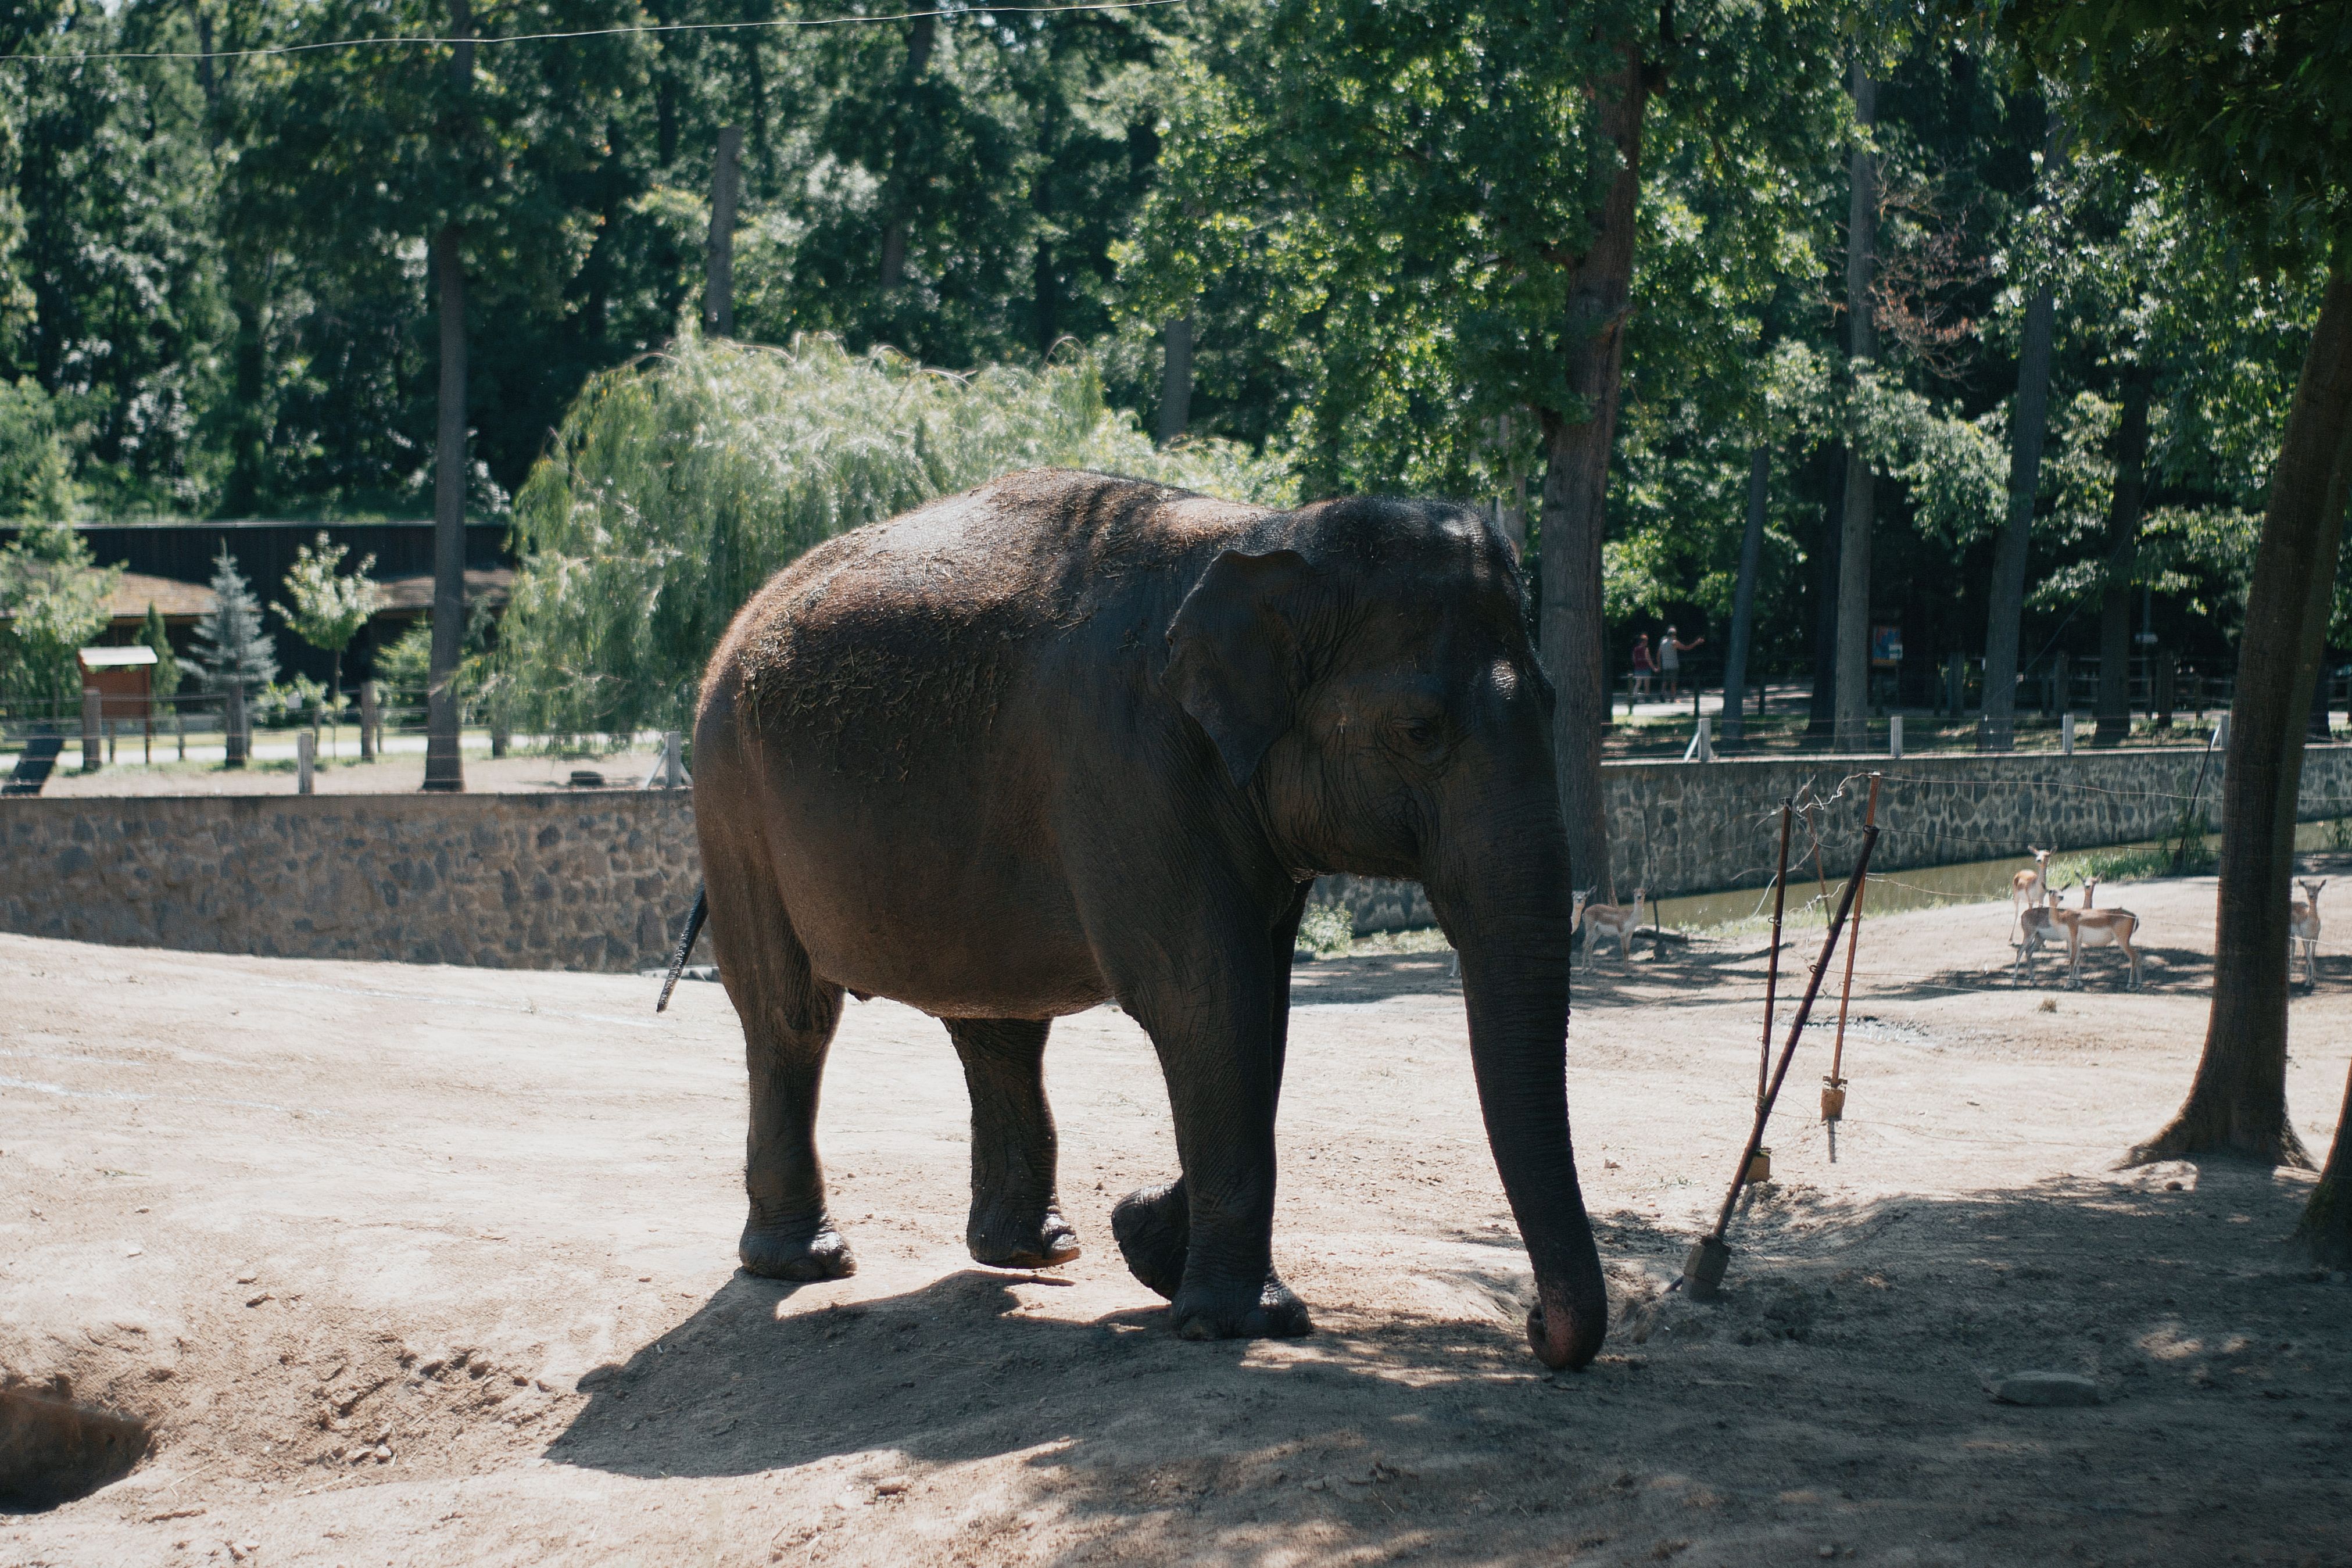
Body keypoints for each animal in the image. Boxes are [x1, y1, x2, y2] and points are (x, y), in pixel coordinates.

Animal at [690, 467, 1608, 1370]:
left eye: (1554, 699)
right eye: (1420, 731)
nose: (1534, 1326)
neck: (1270, 535)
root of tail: (744, 616)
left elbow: (1260, 1002)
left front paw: (1148, 1242)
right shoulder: (1127, 764)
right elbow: (1205, 997)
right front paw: (1245, 1318)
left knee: (997, 1026)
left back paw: (1036, 1252)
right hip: (731, 797)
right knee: (792, 1016)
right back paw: (808, 1263)